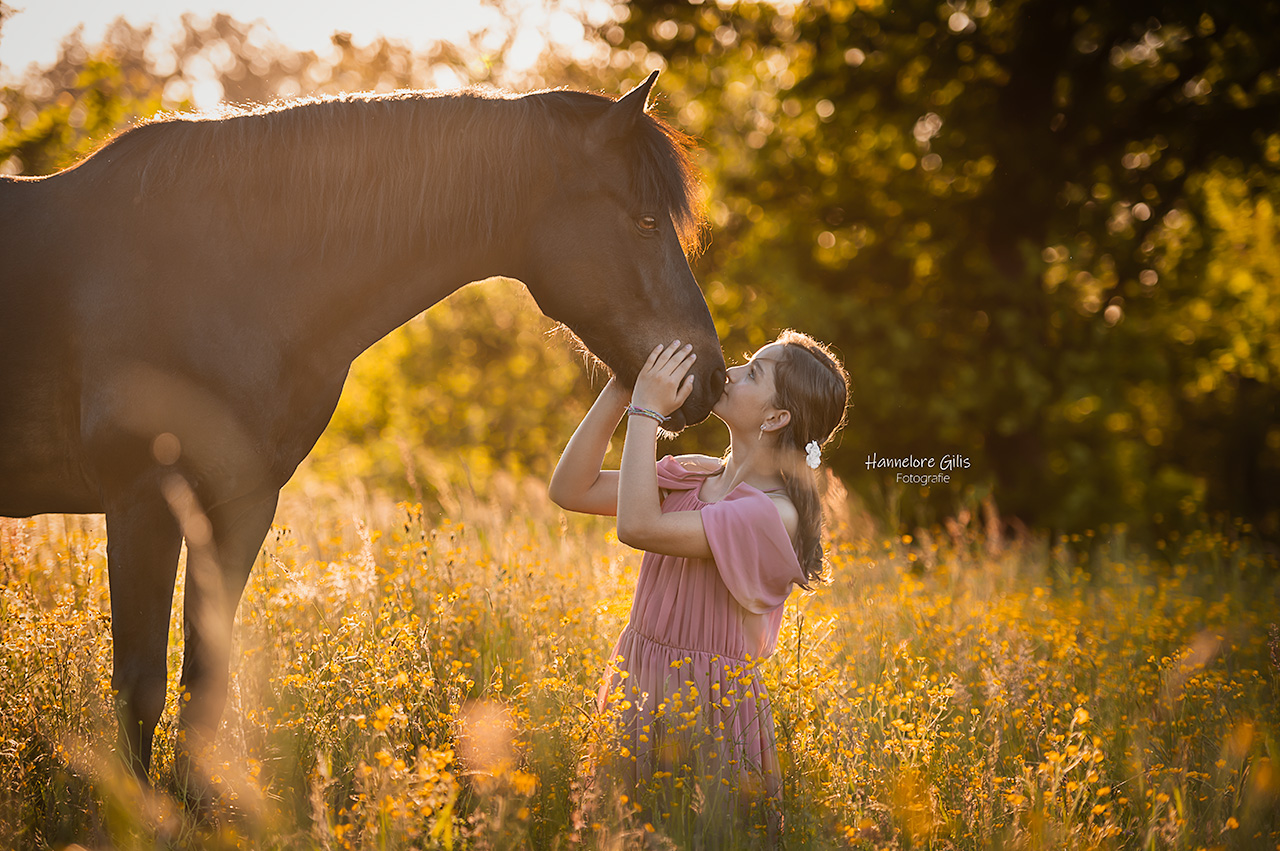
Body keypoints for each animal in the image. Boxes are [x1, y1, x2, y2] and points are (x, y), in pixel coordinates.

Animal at [0, 71, 727, 783]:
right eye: (644, 221)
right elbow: (140, 688)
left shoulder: (239, 504)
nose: (711, 378)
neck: (222, 274)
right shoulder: (141, 500)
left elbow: (203, 685)